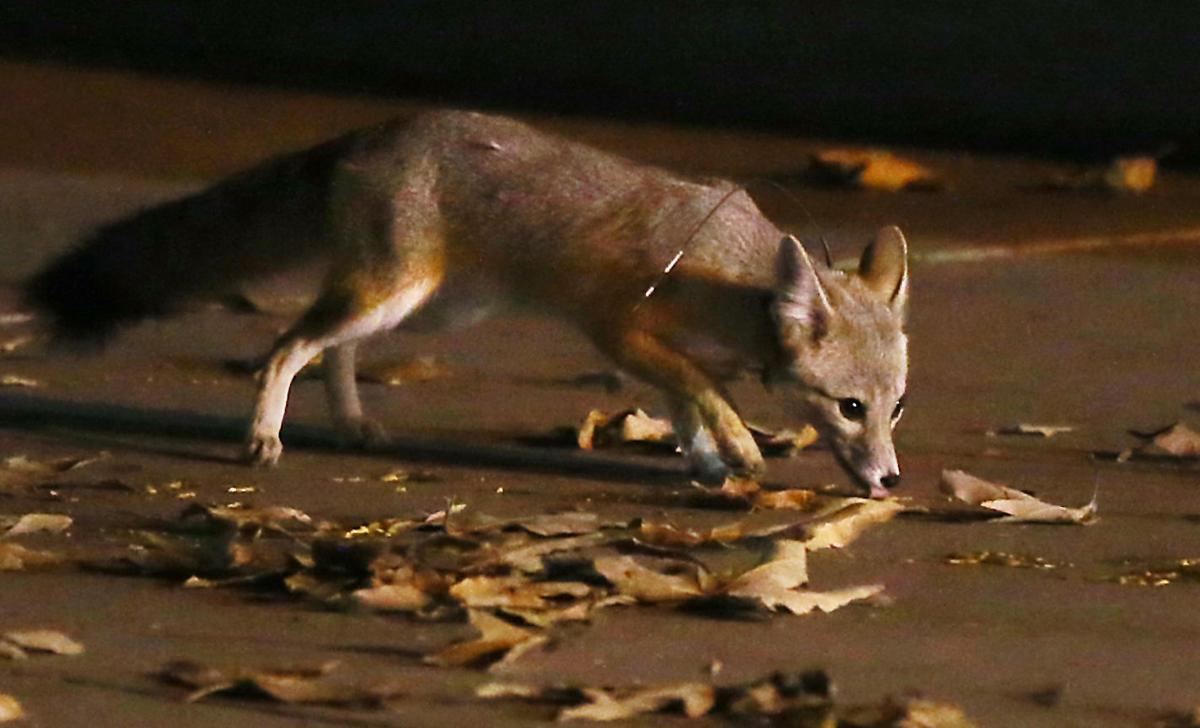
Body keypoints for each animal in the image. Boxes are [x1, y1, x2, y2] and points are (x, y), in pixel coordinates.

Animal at [24, 110, 909, 498]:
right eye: (850, 406)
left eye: (895, 409)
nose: (891, 481)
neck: (728, 276)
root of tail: (371, 132)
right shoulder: (617, 332)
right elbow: (705, 392)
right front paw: (741, 451)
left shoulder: (661, 354)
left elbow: (691, 405)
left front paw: (709, 463)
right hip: (393, 295)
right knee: (286, 345)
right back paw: (263, 438)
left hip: (423, 309)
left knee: (333, 347)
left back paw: (351, 424)